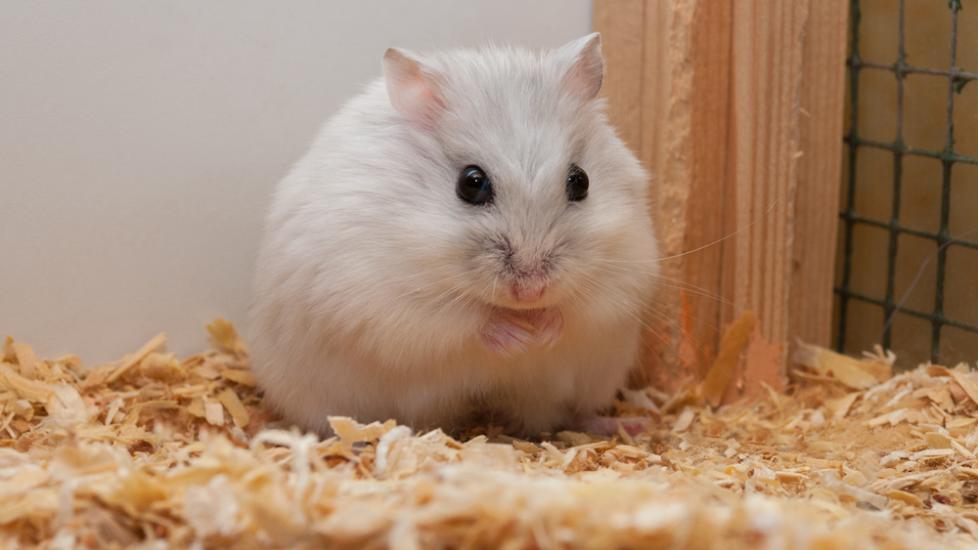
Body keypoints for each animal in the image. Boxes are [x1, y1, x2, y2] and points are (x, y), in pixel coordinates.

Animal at [248, 33, 660, 437]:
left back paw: (630, 425)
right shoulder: (376, 297)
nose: (530, 292)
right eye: (471, 183)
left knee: (570, 415)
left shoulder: (626, 270)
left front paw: (542, 329)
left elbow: (579, 309)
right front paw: (517, 335)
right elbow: (461, 321)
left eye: (581, 181)